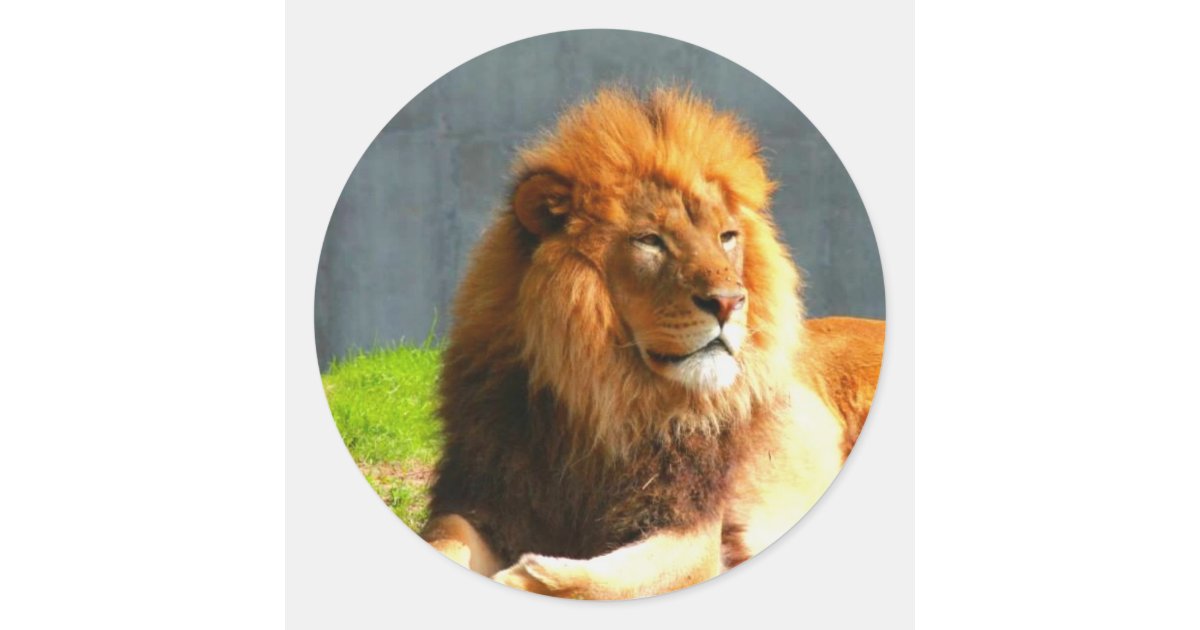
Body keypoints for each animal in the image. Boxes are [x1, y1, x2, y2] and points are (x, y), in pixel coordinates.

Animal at [420, 87, 885, 599]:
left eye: (727, 237)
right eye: (650, 241)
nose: (728, 301)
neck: (601, 404)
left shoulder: (693, 528)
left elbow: (611, 583)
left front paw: (529, 576)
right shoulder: (484, 497)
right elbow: (445, 541)